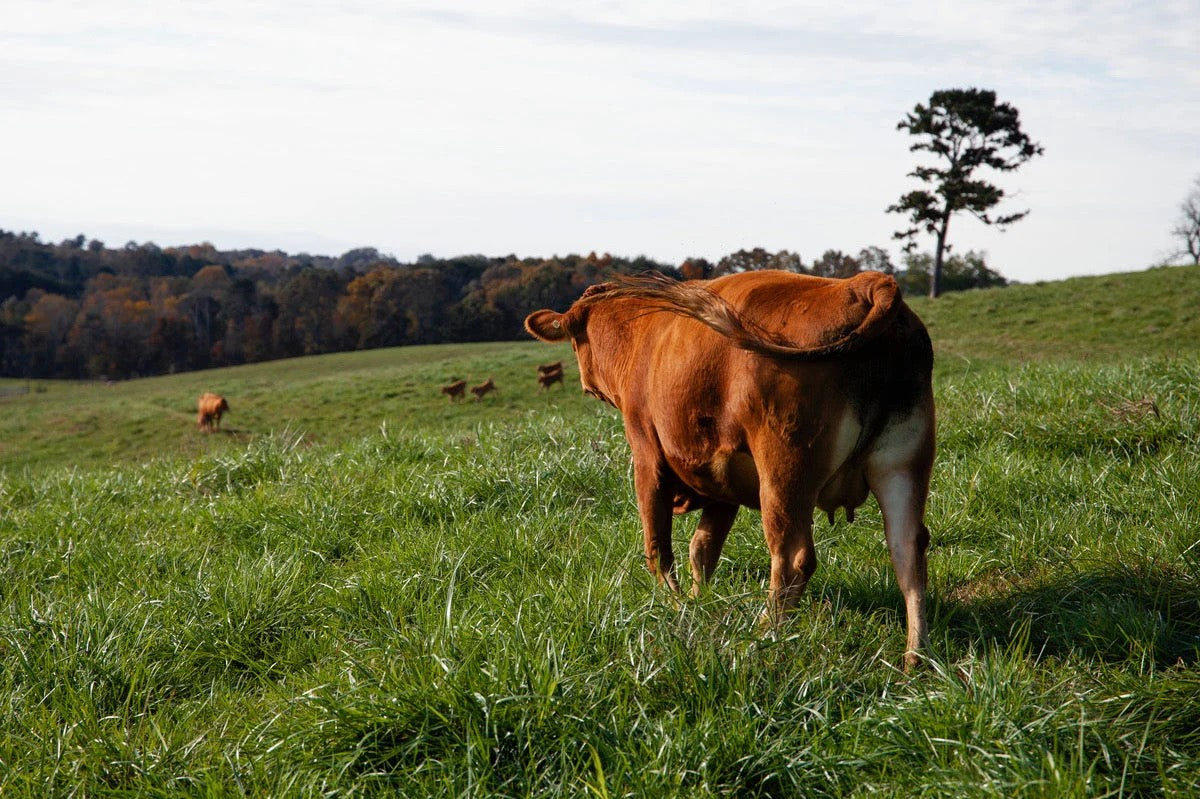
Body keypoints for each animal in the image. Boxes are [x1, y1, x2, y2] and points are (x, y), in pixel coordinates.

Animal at [524, 270, 935, 669]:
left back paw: (761, 637)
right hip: (902, 468)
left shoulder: (646, 456)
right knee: (908, 552)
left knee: (793, 559)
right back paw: (914, 657)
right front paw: (697, 600)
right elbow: (702, 548)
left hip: (784, 474)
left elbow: (659, 548)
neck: (641, 335)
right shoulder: (723, 479)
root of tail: (866, 283)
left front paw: (674, 605)